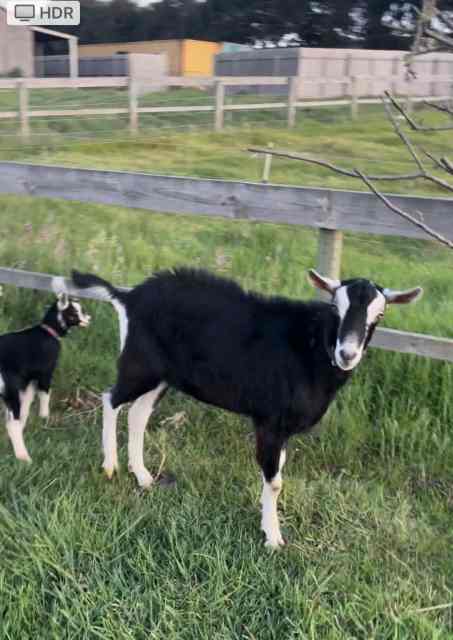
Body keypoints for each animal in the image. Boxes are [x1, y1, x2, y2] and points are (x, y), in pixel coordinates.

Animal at [1, 293, 90, 462]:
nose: (88, 319)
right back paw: (24, 457)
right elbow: (44, 394)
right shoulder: (45, 372)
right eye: (74, 312)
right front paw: (44, 417)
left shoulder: (29, 379)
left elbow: (27, 404)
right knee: (12, 423)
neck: (48, 332)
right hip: (10, 388)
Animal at [71, 267, 422, 548]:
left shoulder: (283, 430)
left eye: (380, 316)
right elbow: (276, 482)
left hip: (161, 375)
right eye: (336, 307)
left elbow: (277, 473)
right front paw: (273, 538)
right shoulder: (270, 422)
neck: (313, 350)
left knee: (138, 413)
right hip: (139, 363)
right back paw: (110, 467)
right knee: (111, 399)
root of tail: (129, 296)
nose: (347, 353)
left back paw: (143, 477)